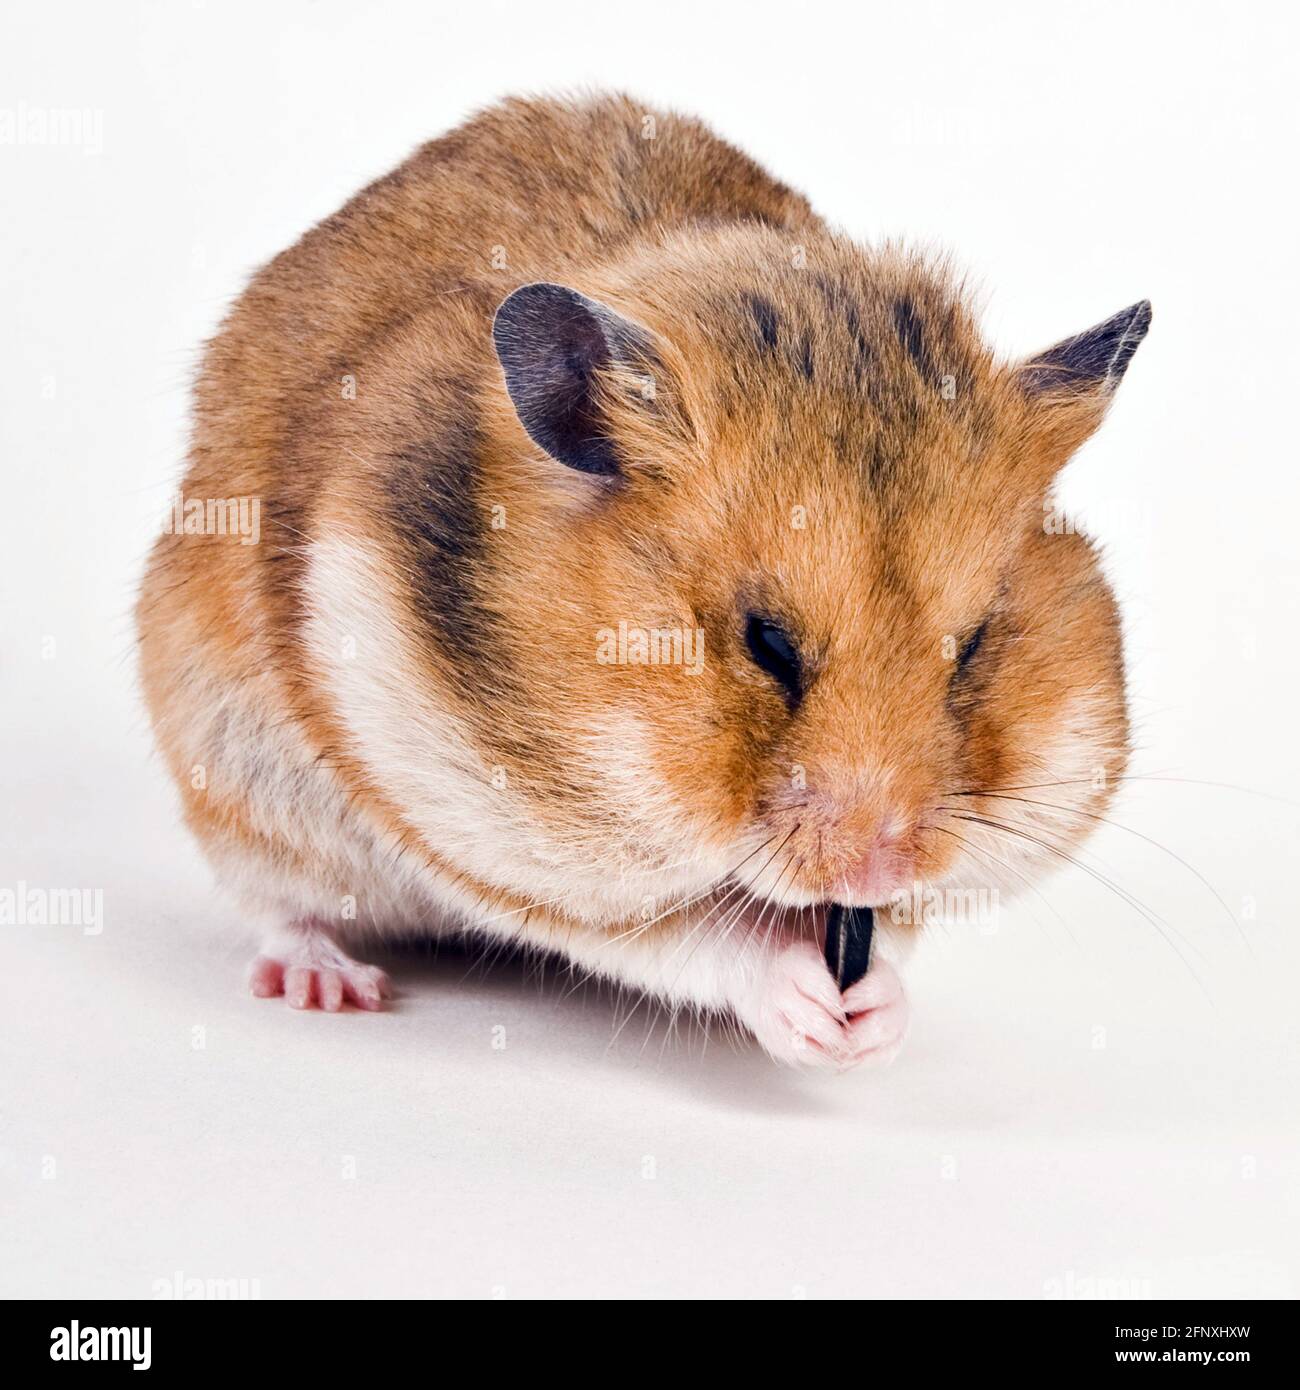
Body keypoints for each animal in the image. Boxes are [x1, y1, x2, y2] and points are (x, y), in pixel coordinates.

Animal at [137, 93, 1149, 1069]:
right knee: (283, 906)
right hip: (236, 774)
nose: (877, 872)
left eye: (972, 647)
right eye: (766, 645)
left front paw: (873, 1022)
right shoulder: (498, 839)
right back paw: (330, 988)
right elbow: (692, 935)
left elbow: (883, 943)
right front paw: (812, 1011)